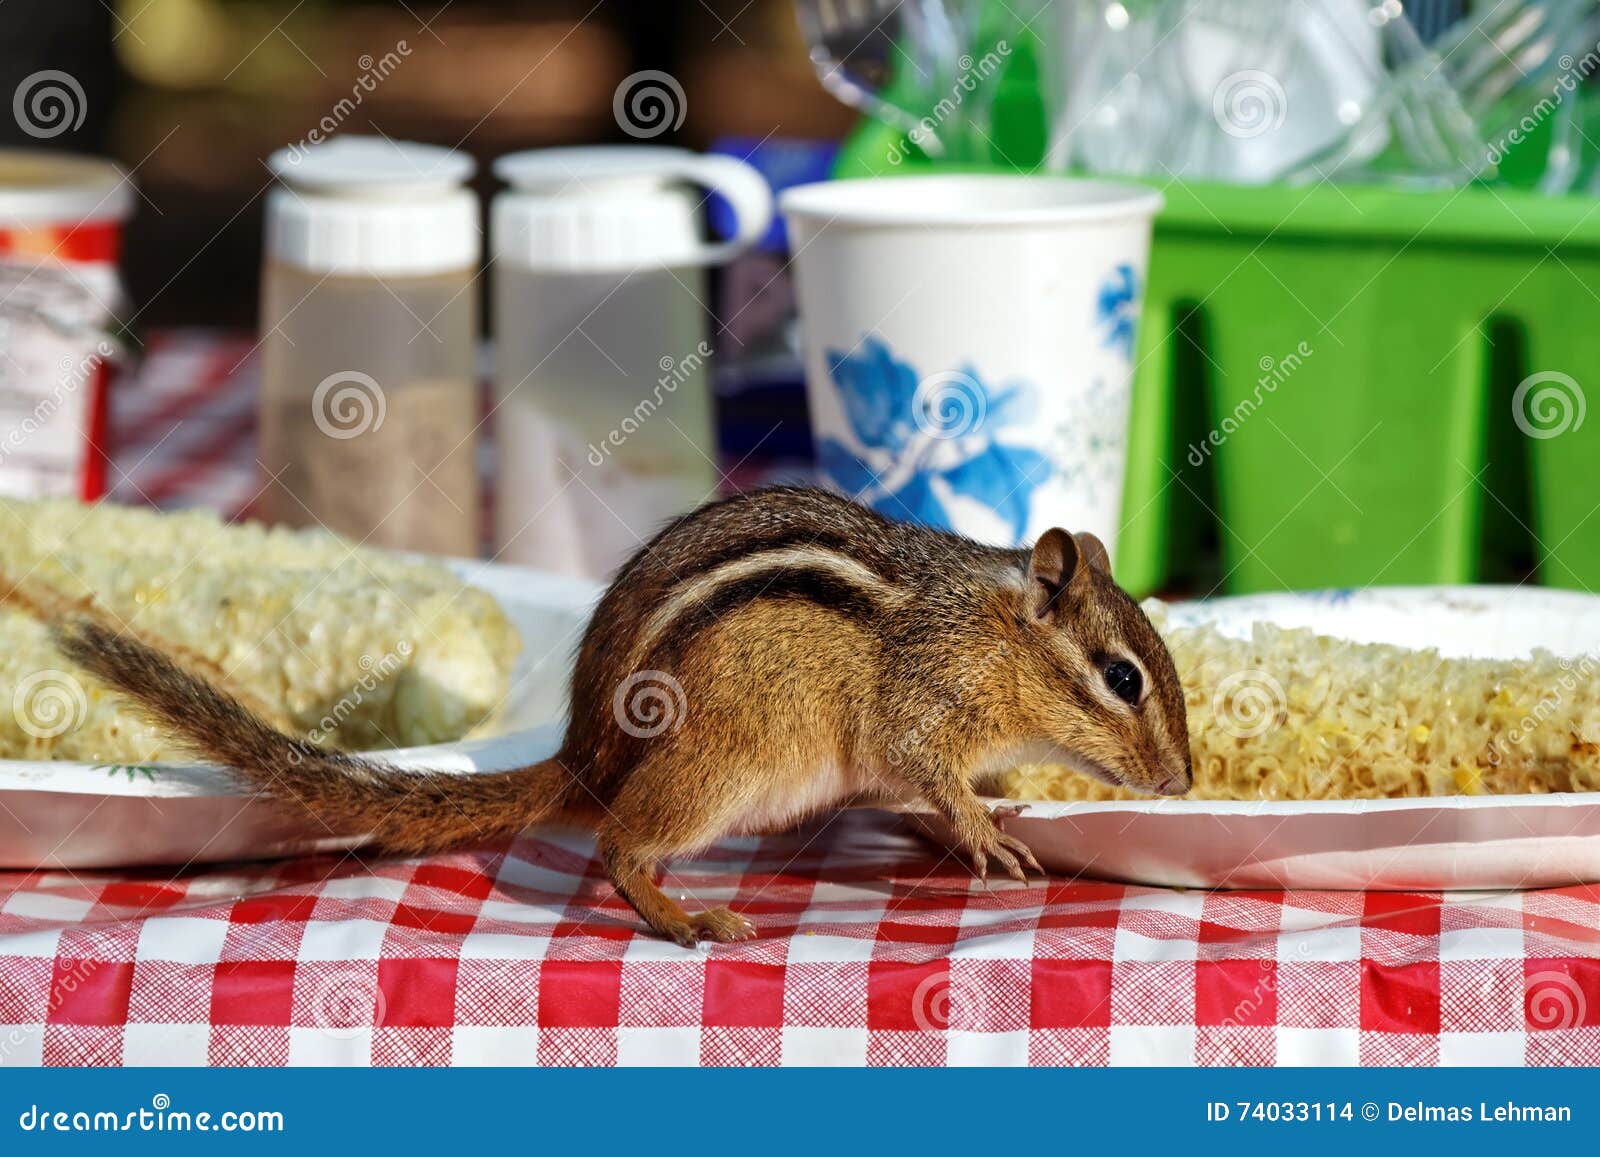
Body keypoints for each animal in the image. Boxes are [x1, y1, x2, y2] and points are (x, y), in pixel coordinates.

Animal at [18, 487, 1191, 947]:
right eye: (1122, 676)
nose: (1181, 783)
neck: (993, 634)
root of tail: (580, 752)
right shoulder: (922, 702)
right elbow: (926, 767)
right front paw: (986, 830)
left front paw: (1007, 799)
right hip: (722, 767)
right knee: (621, 845)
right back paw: (683, 916)